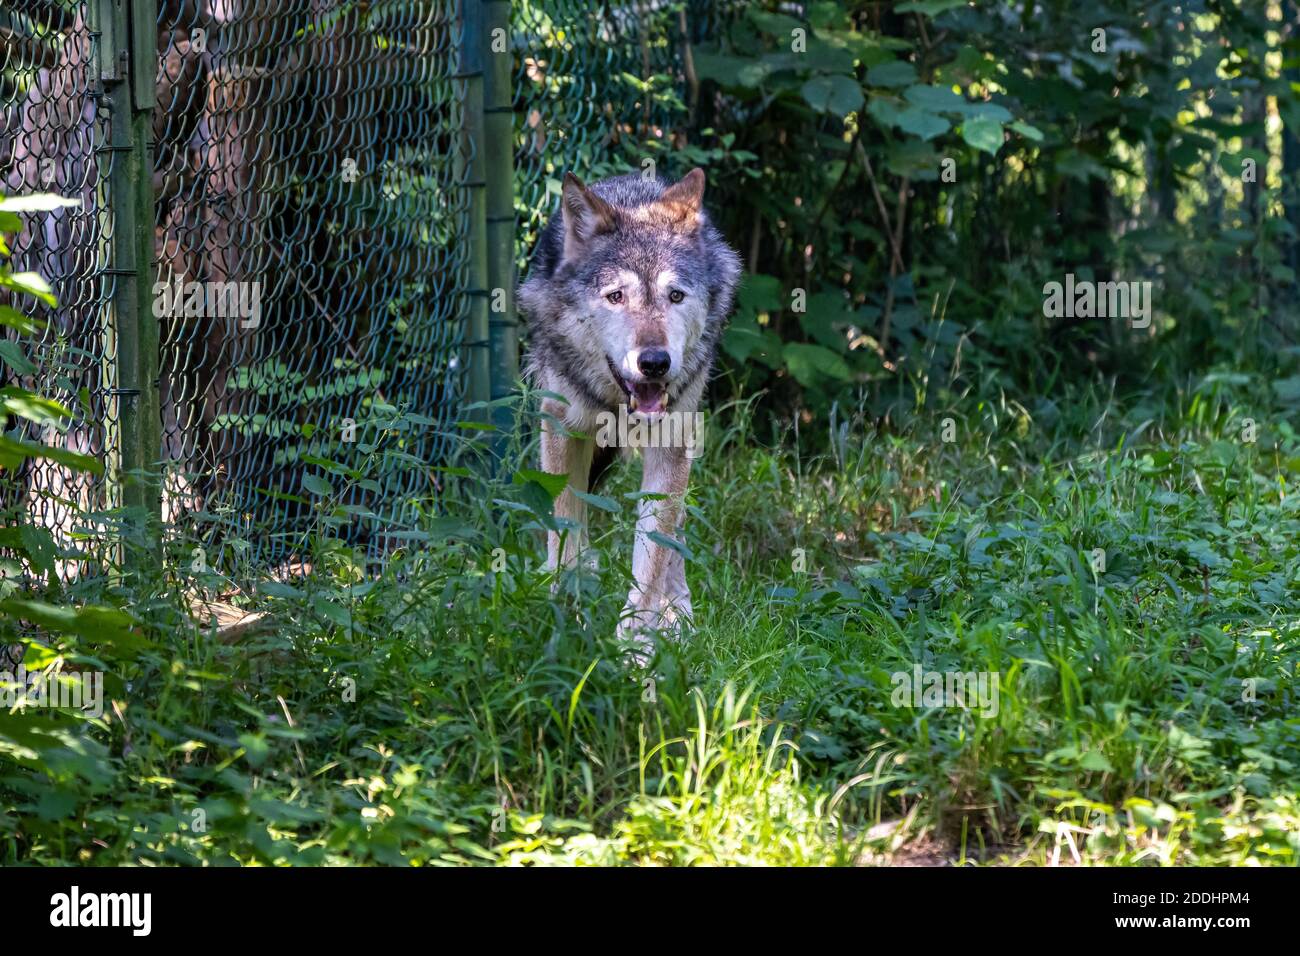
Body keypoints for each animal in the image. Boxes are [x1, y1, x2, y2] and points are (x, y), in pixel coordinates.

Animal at [518, 168, 742, 658]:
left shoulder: (672, 442)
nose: (654, 362)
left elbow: (651, 557)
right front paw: (566, 616)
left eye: (675, 295)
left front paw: (636, 649)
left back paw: (678, 617)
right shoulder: (563, 429)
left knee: (674, 538)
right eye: (616, 296)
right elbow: (565, 532)